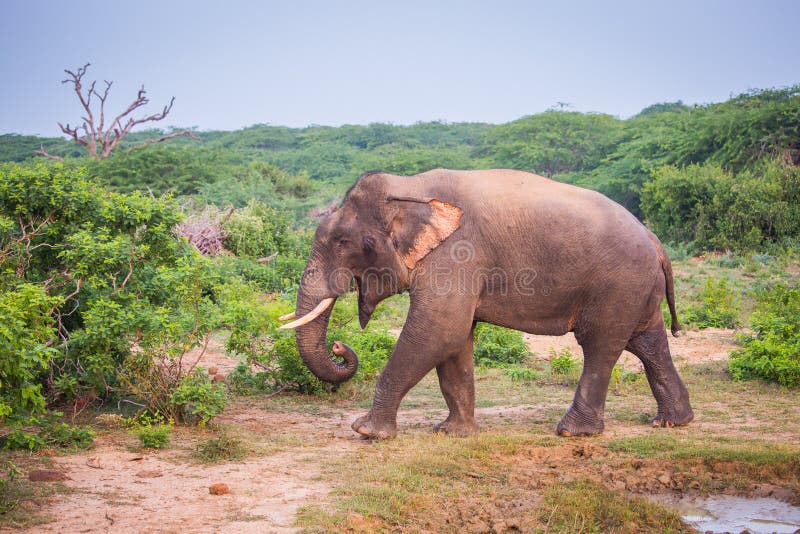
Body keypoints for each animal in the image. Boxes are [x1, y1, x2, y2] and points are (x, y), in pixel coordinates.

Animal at [279, 168, 693, 439]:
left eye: (343, 243)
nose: (339, 346)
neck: (409, 187)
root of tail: (655, 241)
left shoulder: (457, 255)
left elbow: (439, 332)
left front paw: (367, 432)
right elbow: (454, 340)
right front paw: (453, 433)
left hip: (617, 287)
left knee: (600, 346)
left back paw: (573, 432)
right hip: (636, 290)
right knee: (647, 343)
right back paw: (672, 422)